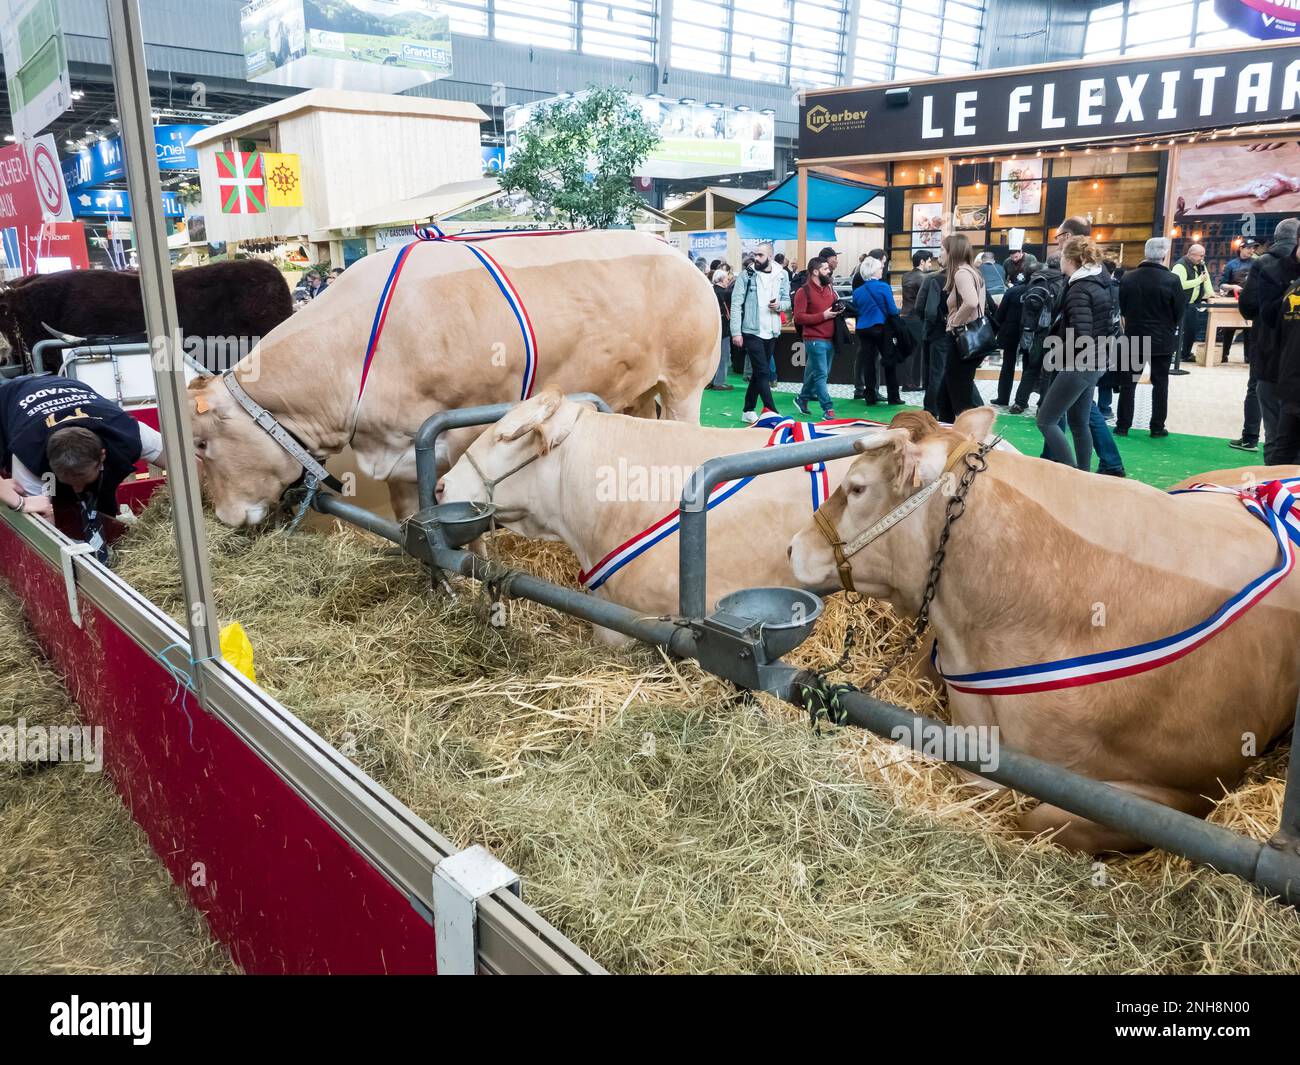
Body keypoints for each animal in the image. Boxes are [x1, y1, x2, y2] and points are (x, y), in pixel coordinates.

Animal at [190, 230, 719, 526]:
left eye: (200, 444)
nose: (226, 519)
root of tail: (673, 251)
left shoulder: (466, 428)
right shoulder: (399, 450)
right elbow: (409, 519)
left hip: (685, 384)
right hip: (637, 391)